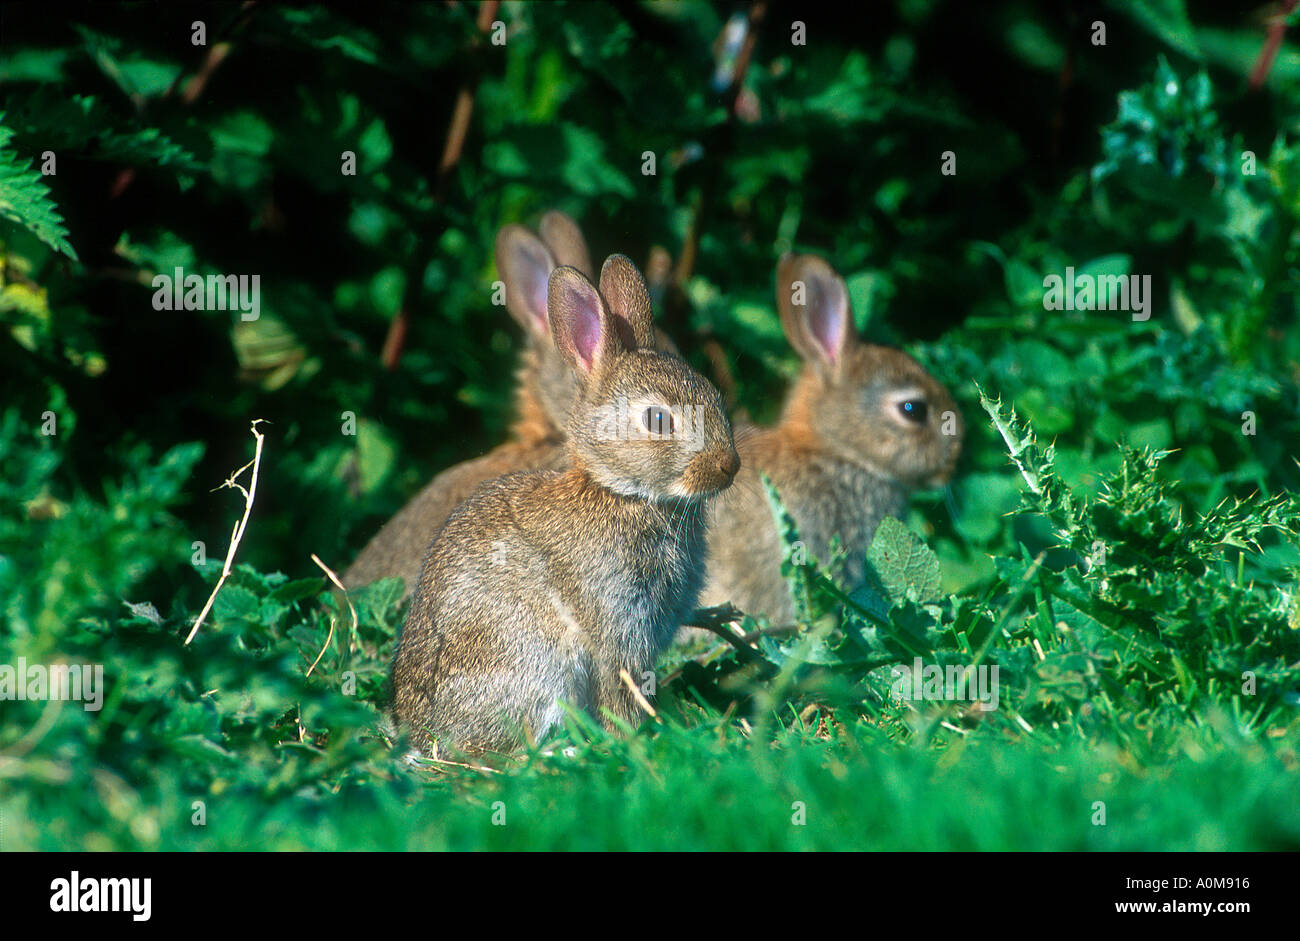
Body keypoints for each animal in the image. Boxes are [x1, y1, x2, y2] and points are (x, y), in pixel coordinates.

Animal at [391, 255, 739, 756]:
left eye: (712, 394)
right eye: (658, 420)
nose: (730, 466)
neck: (622, 492)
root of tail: (421, 733)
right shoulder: (617, 628)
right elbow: (622, 690)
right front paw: (635, 738)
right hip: (540, 665)